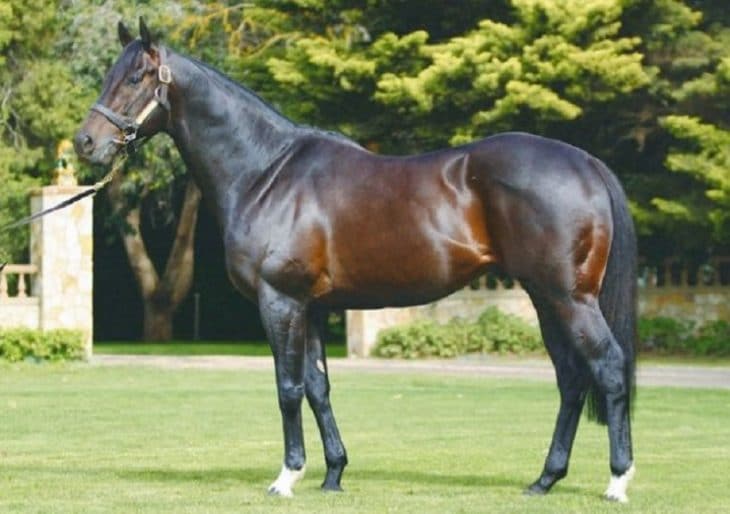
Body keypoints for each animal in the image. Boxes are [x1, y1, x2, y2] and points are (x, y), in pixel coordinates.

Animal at [74, 19, 637, 502]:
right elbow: (319, 387)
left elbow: (288, 388)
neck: (266, 172)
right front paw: (333, 473)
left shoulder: (280, 302)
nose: (86, 143)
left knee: (608, 367)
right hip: (544, 298)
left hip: (567, 298)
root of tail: (585, 161)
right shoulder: (312, 307)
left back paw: (617, 481)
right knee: (571, 379)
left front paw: (286, 477)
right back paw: (545, 480)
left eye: (137, 77)